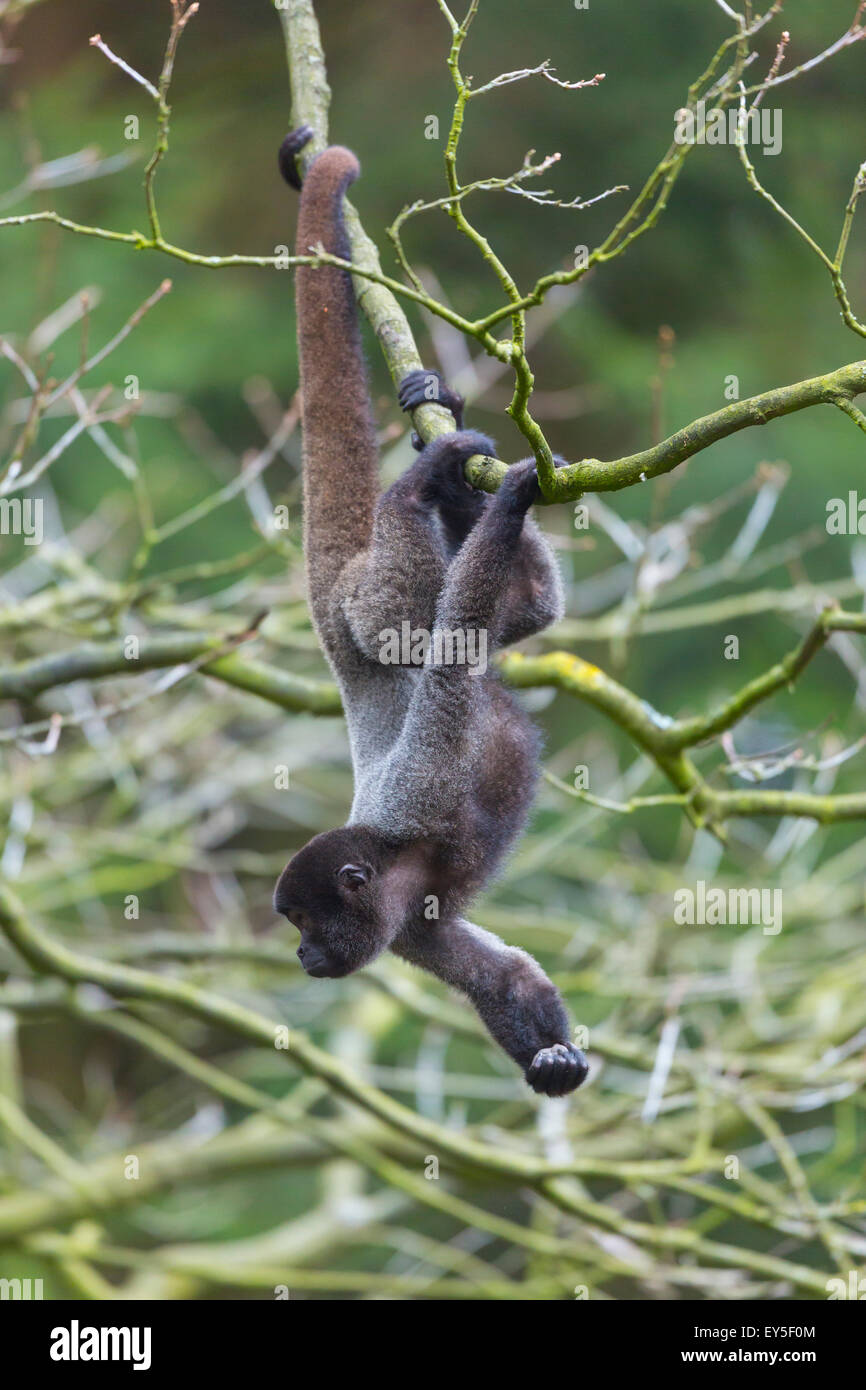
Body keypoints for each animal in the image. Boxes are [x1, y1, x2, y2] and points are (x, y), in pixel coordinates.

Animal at [272, 126, 588, 1098]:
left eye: (306, 922)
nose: (301, 958)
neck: (399, 854)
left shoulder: (423, 785)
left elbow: (452, 649)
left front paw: (501, 497)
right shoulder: (408, 921)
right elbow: (499, 971)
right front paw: (554, 1059)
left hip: (372, 606)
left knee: (437, 616)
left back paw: (427, 488)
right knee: (529, 608)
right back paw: (446, 466)